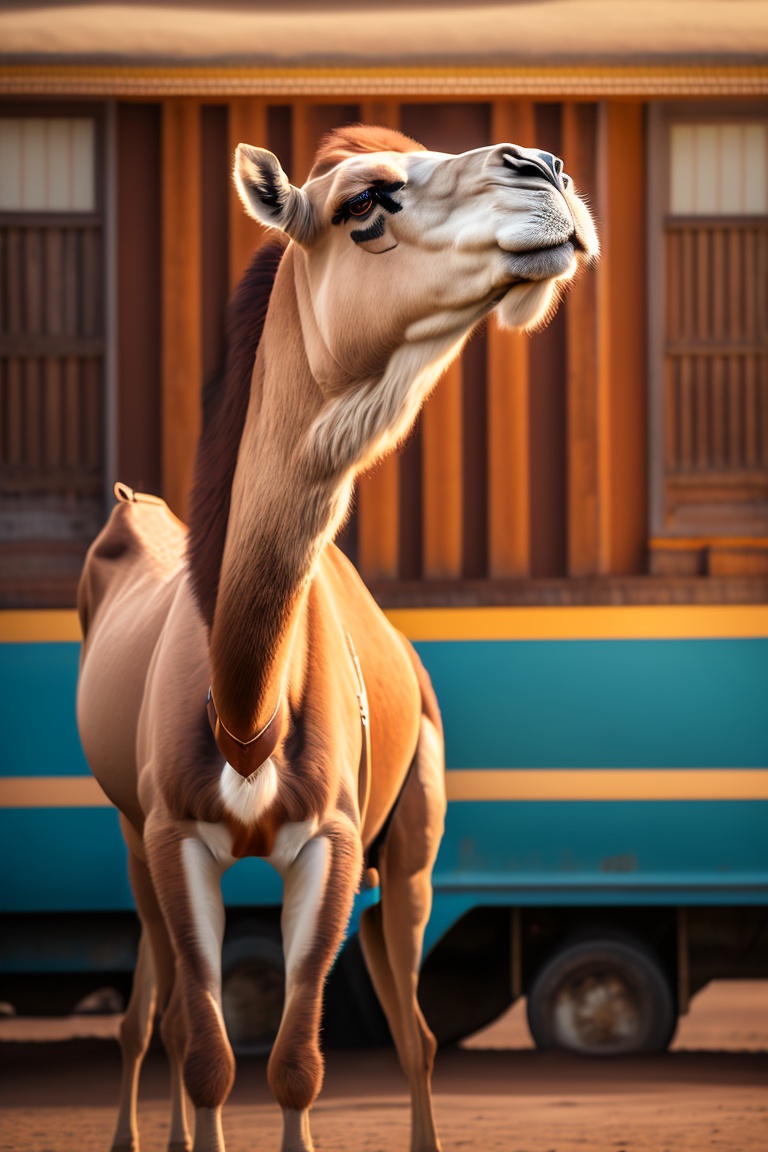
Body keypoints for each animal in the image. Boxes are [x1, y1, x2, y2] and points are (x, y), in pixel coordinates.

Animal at [76, 124, 597, 1152]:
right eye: (363, 203)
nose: (546, 170)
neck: (245, 706)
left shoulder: (337, 840)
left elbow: (296, 1063)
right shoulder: (172, 836)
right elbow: (210, 1055)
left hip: (411, 851)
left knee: (415, 1032)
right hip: (132, 839)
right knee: (158, 1013)